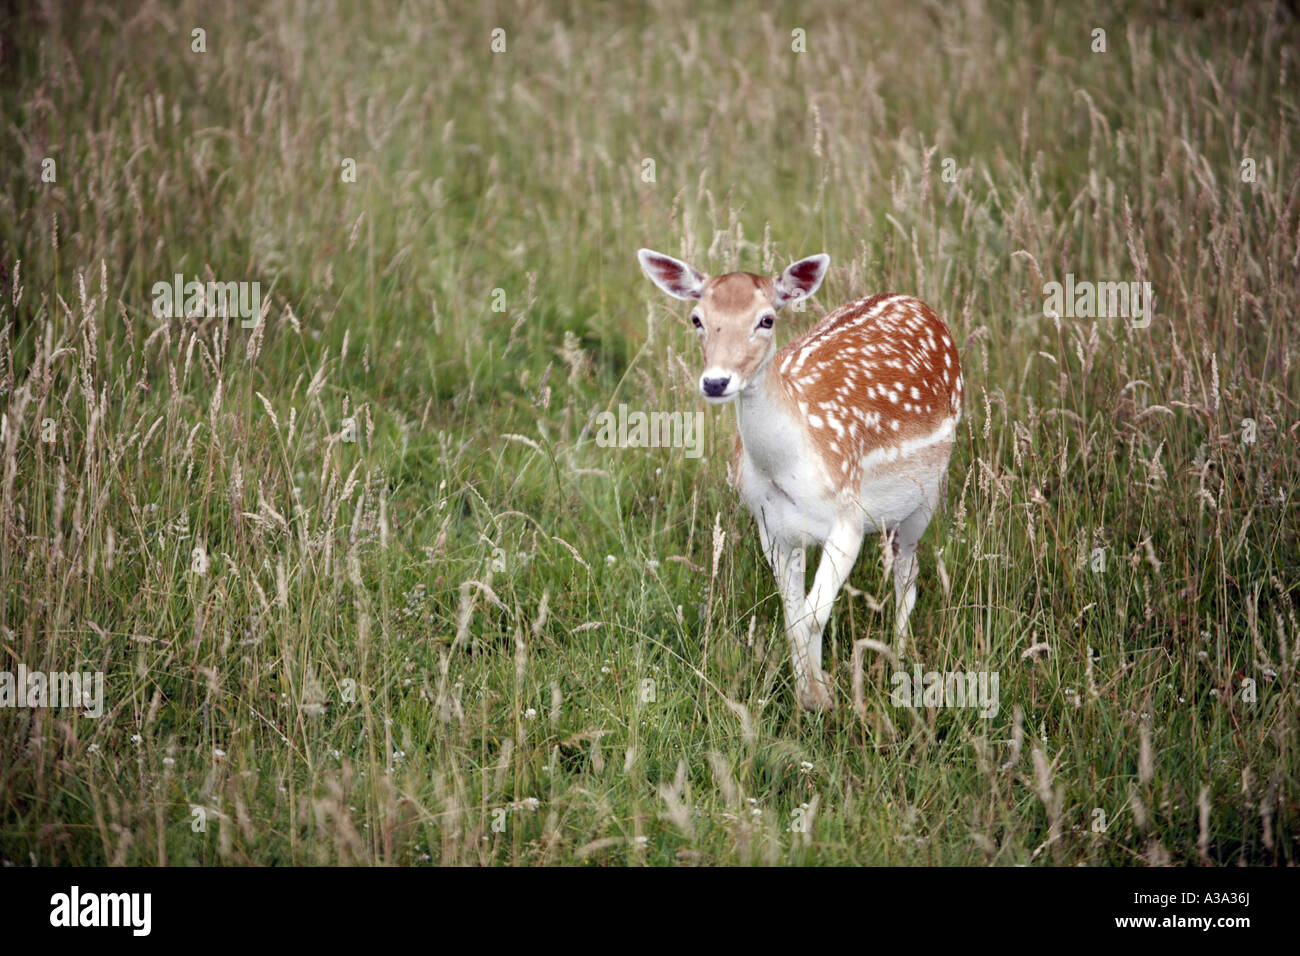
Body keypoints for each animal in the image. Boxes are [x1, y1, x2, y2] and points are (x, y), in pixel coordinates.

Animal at [637, 248, 963, 711]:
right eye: (697, 318)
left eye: (766, 319)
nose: (716, 381)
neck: (787, 462)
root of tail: (917, 301)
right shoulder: (772, 527)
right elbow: (793, 616)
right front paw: (807, 693)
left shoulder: (848, 520)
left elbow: (811, 615)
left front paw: (823, 697)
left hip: (927, 493)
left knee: (909, 573)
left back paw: (900, 659)